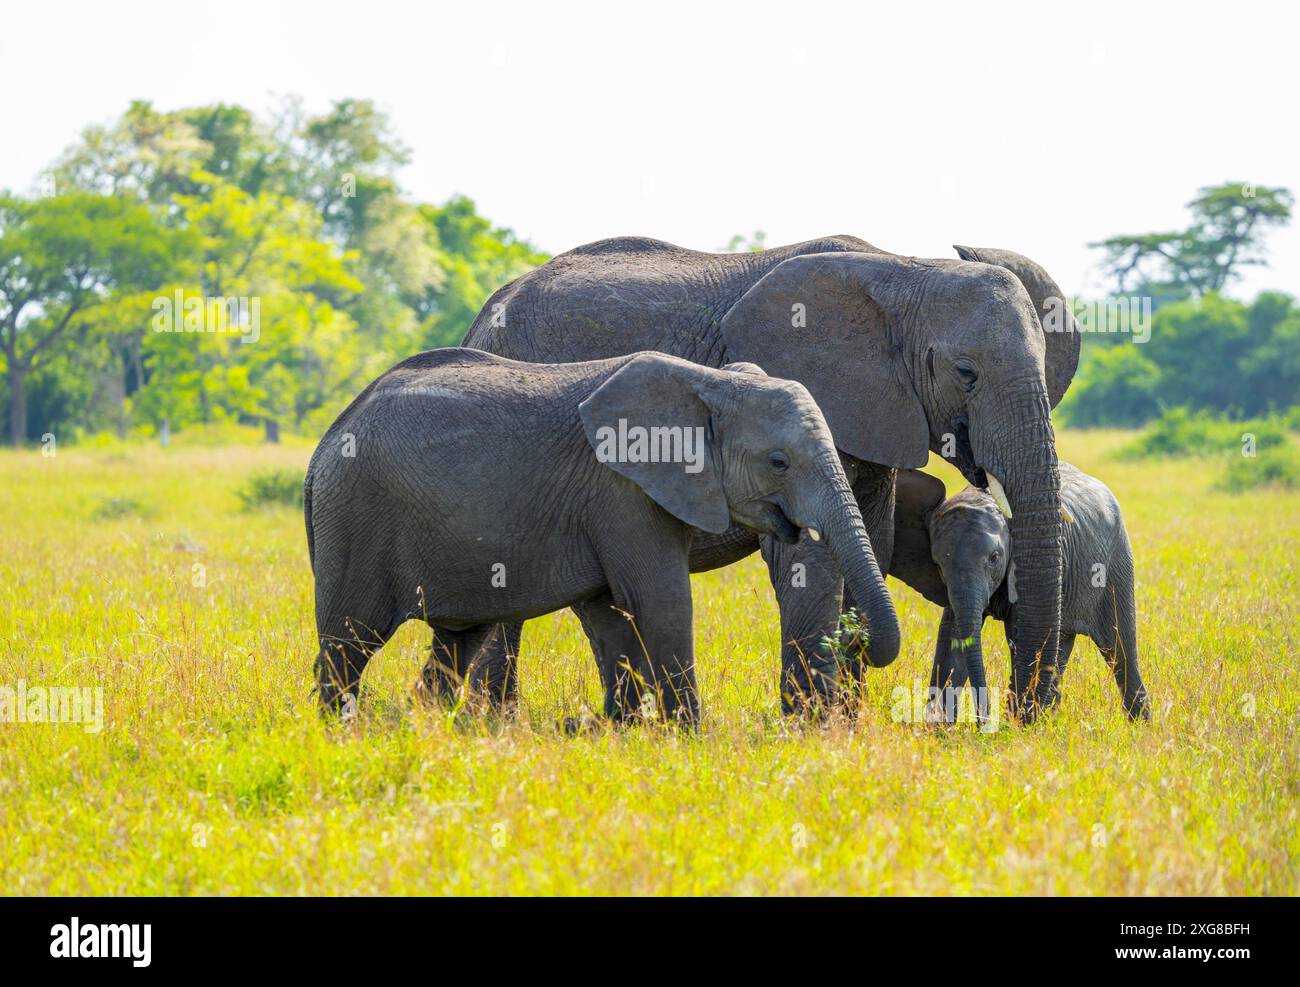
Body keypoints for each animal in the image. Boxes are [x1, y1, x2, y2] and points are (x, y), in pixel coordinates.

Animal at [304, 348, 900, 724]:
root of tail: (325, 441)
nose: (856, 641)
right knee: (349, 642)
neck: (708, 383)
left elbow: (610, 612)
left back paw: (424, 731)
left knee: (455, 643)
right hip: (355, 518)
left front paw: (625, 732)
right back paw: (339, 733)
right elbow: (660, 601)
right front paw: (691, 739)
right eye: (779, 462)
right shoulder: (623, 491)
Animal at [461, 235, 1080, 718]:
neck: (906, 267)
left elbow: (870, 541)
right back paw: (492, 723)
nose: (1028, 714)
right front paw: (812, 725)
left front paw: (845, 717)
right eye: (966, 372)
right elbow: (811, 555)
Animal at [890, 464, 1150, 721]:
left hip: (1117, 563)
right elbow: (953, 635)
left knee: (1121, 649)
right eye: (937, 565)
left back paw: (1140, 724)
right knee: (1062, 648)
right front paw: (938, 726)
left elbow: (1018, 634)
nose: (983, 720)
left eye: (995, 558)